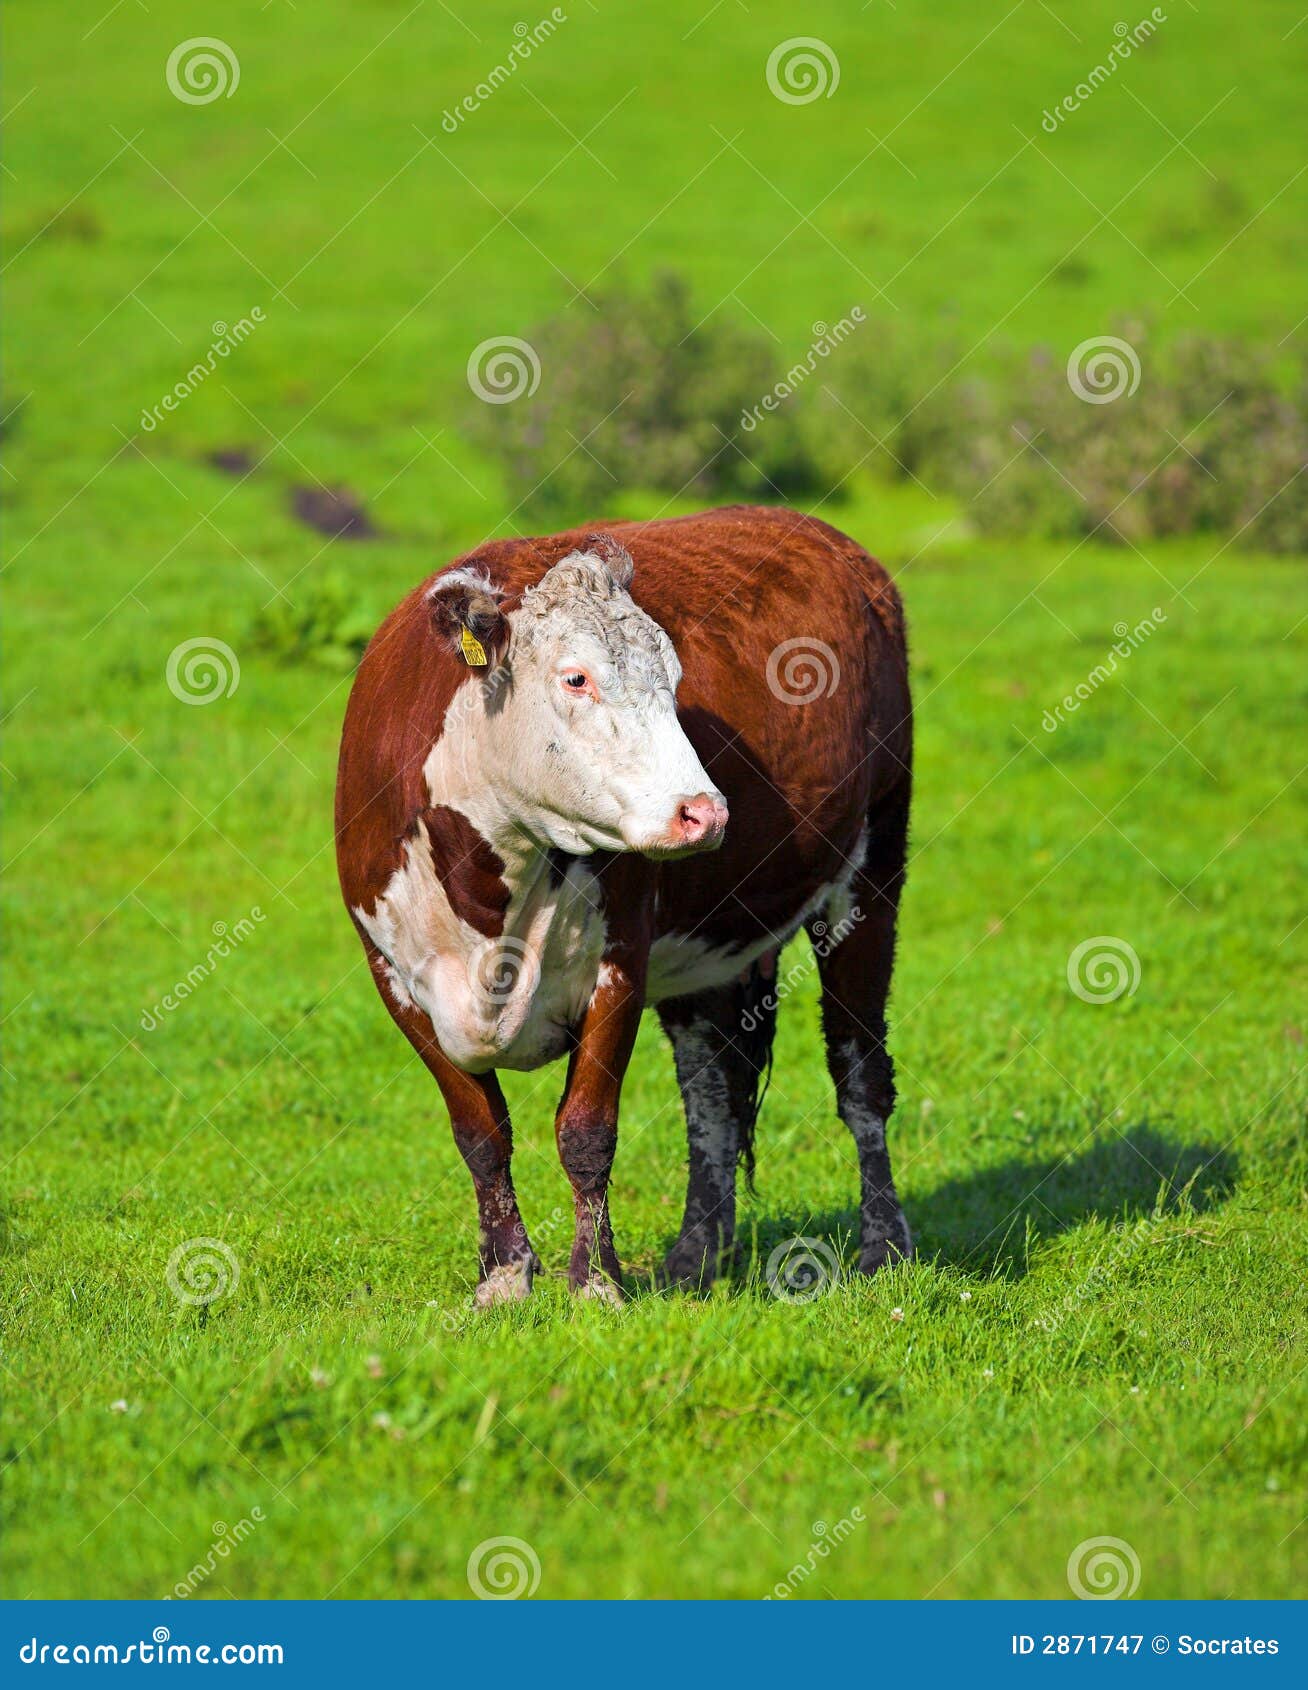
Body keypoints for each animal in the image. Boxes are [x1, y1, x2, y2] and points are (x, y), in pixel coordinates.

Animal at [335, 504, 913, 1306]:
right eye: (576, 677)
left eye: (672, 677)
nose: (703, 812)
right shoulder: (393, 975)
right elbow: (481, 1134)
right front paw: (505, 1276)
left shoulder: (619, 965)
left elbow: (586, 1131)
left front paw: (596, 1284)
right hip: (706, 944)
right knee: (713, 1091)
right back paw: (696, 1256)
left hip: (872, 874)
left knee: (860, 1072)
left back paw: (883, 1247)